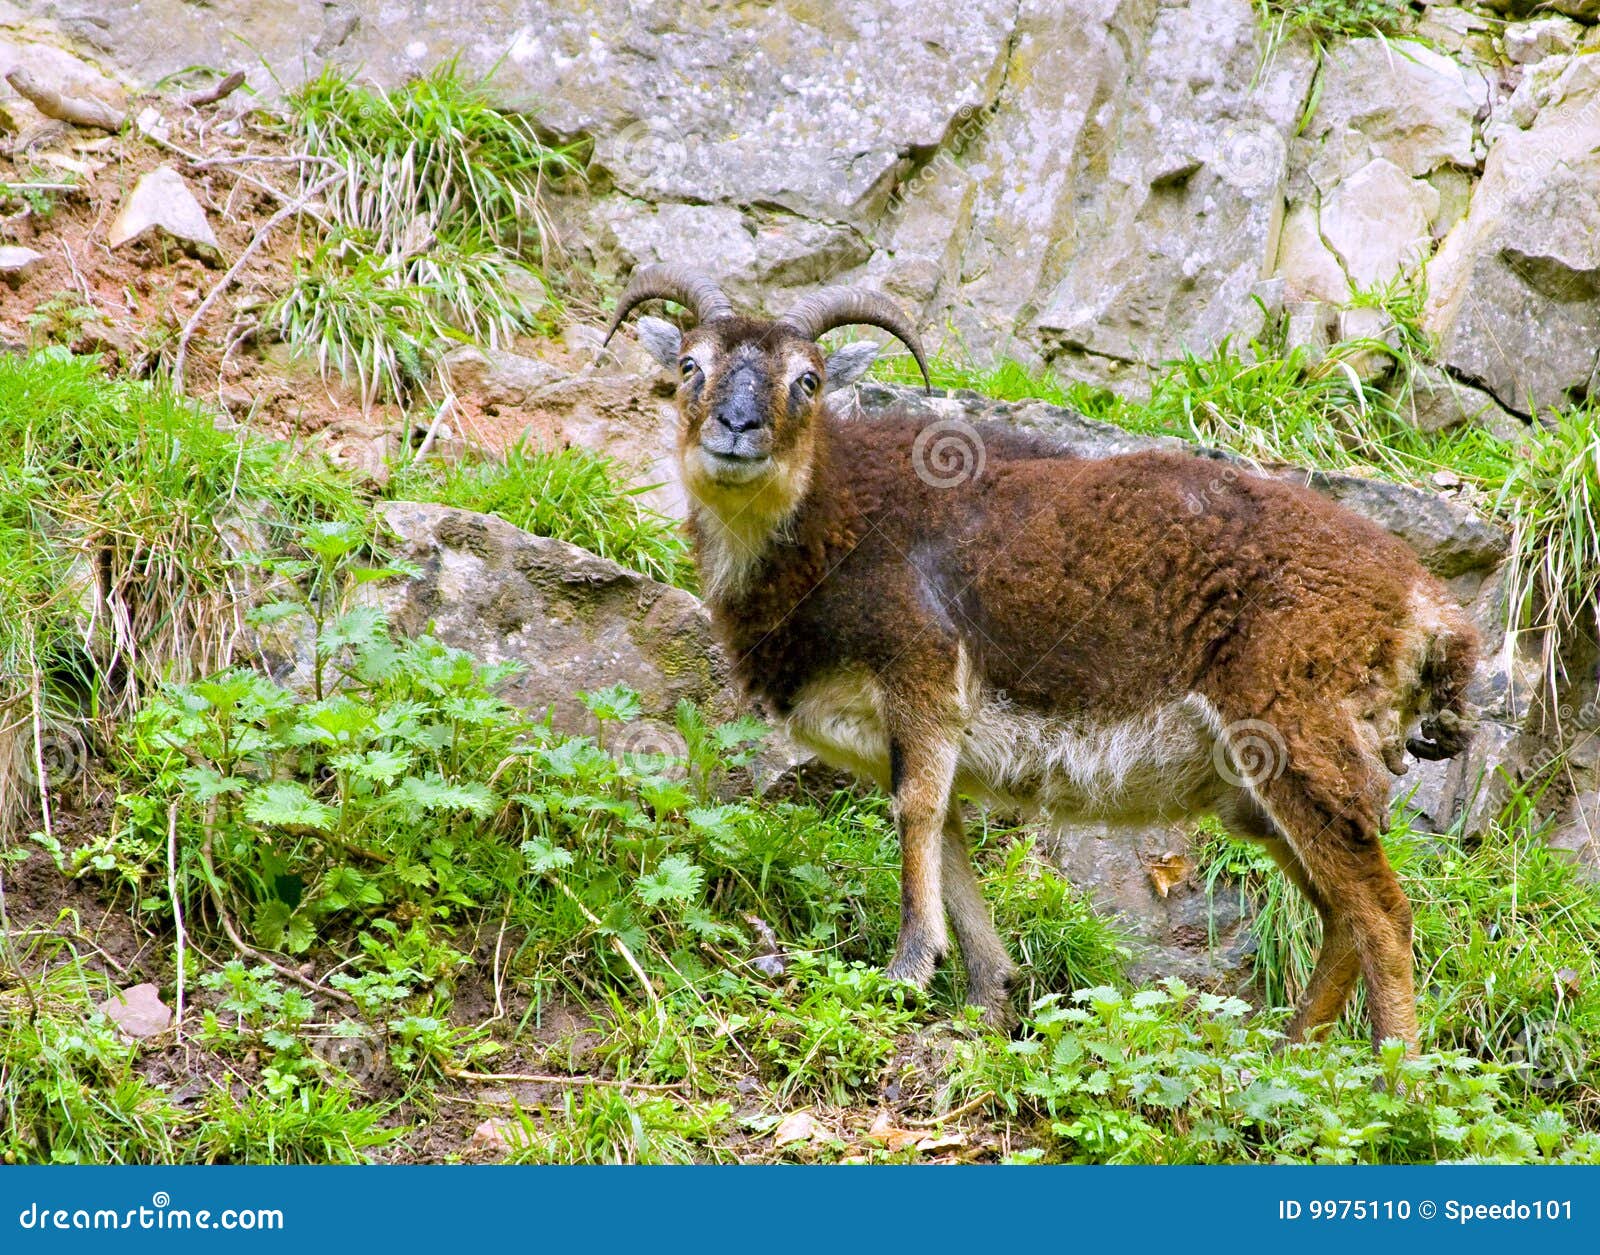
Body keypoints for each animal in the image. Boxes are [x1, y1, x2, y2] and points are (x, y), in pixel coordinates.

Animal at [602, 265, 1478, 1048]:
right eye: (691, 364)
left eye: (808, 380)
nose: (737, 427)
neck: (839, 521)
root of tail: (1426, 610)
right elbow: (948, 830)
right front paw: (989, 999)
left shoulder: (922, 674)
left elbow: (916, 813)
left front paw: (907, 970)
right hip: (1256, 791)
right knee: (1339, 912)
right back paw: (1292, 1052)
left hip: (1300, 736)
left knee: (1383, 911)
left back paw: (1394, 1075)